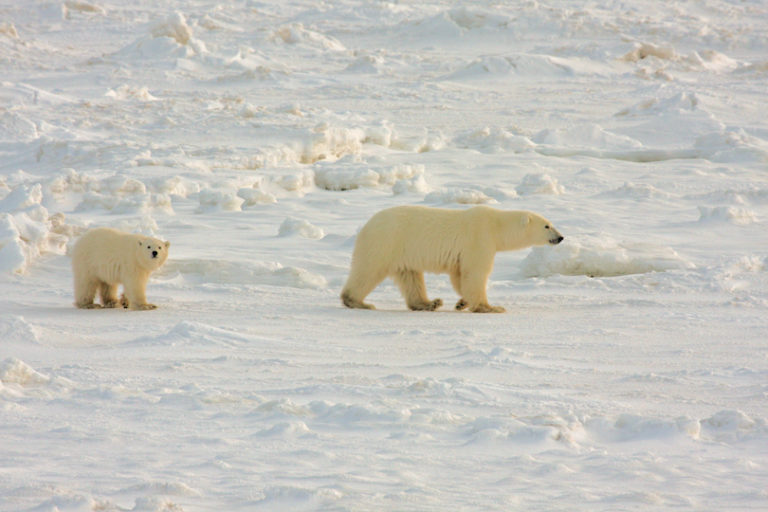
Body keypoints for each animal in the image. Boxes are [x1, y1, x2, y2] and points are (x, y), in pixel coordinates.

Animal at [341, 205, 563, 313]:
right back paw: (358, 302)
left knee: (410, 277)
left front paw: (462, 303)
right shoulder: (479, 238)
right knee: (368, 271)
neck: (496, 225)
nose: (561, 237)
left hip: (403, 252)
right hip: (386, 242)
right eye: (547, 225)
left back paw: (429, 303)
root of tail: (367, 225)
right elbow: (475, 273)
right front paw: (491, 307)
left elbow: (459, 275)